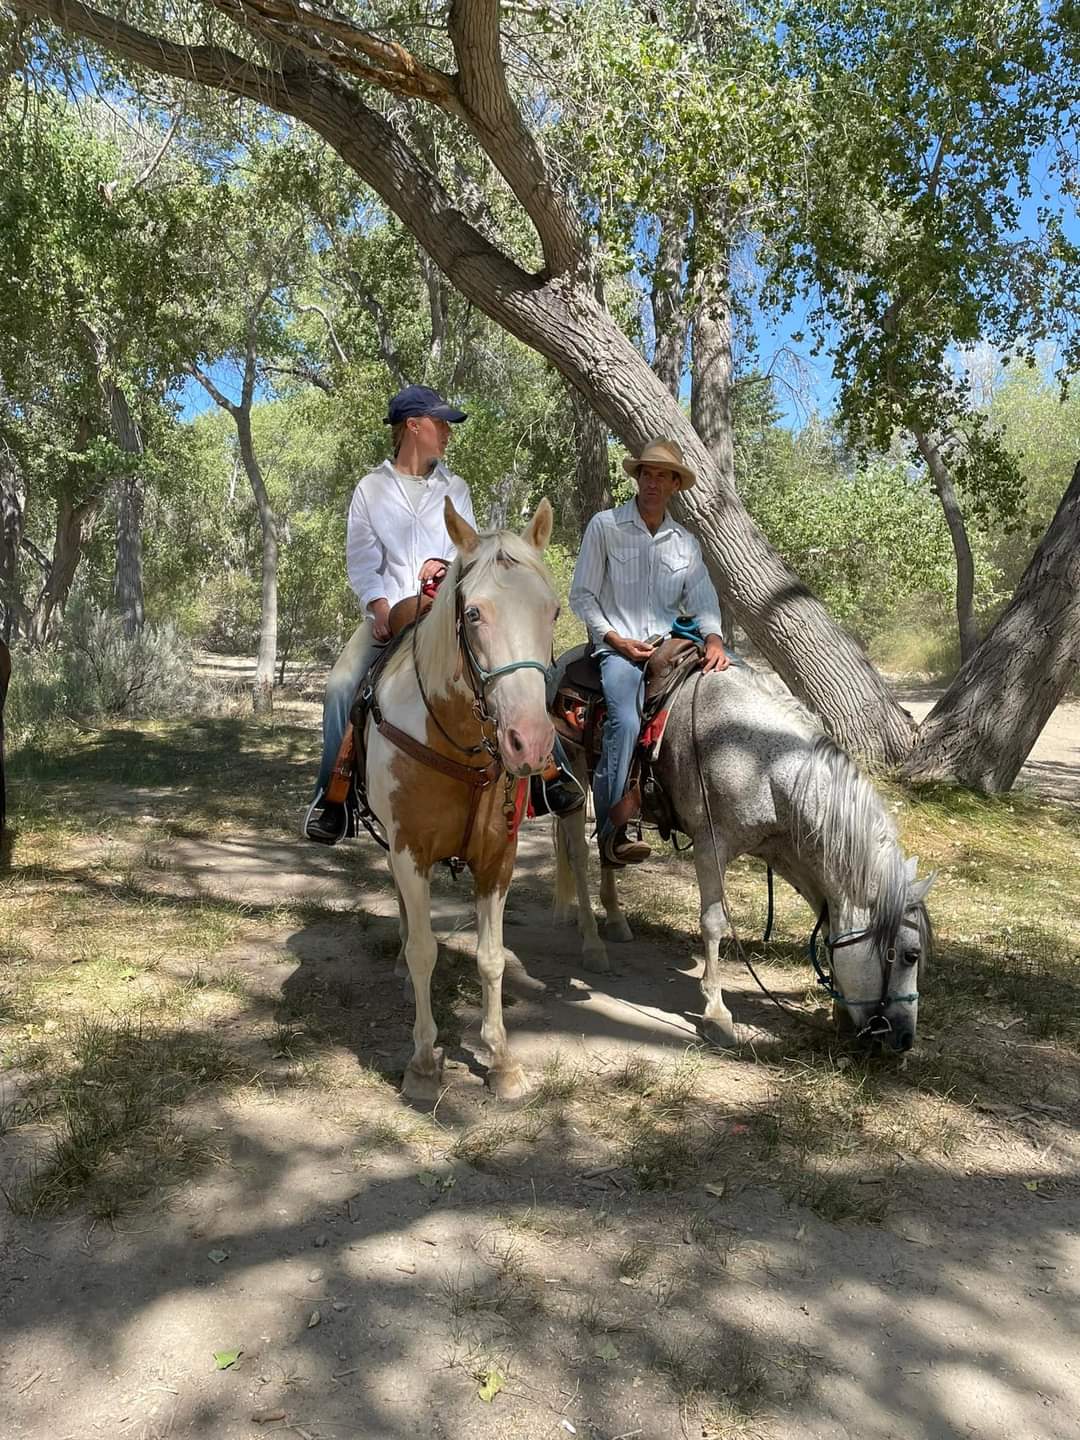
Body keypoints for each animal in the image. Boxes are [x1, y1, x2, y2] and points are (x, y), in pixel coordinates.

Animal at [365, 499, 558, 1103]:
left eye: (553, 612)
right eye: (473, 613)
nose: (529, 743)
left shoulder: (498, 858)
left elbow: (491, 957)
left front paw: (501, 1060)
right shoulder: (409, 850)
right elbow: (425, 951)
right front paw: (424, 1062)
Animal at [554, 661, 934, 1052]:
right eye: (911, 955)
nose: (905, 1038)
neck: (763, 766)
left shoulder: (788, 851)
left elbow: (829, 923)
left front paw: (840, 1012)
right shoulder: (711, 846)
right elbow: (714, 923)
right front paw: (716, 1014)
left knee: (607, 849)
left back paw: (615, 920)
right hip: (575, 780)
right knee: (578, 855)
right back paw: (592, 944)